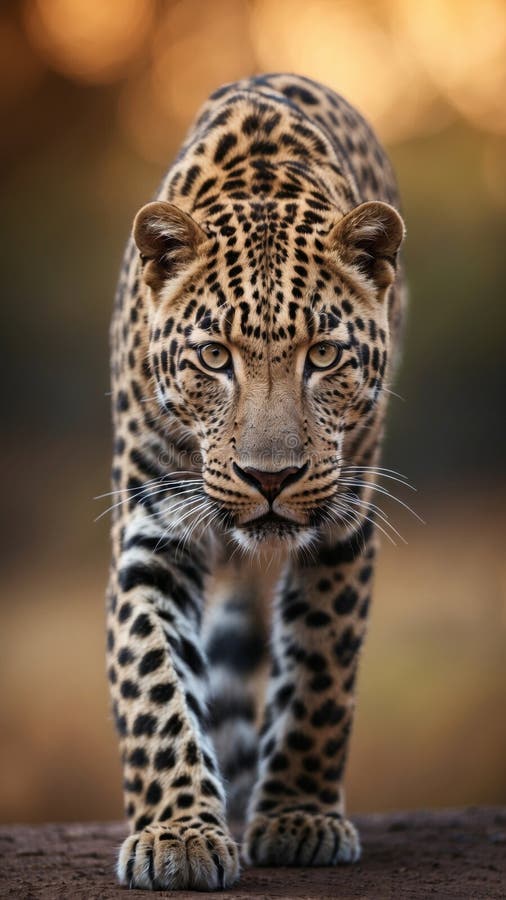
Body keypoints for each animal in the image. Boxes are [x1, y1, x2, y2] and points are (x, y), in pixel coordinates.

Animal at [106, 73, 406, 891]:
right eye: (214, 357)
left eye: (324, 356)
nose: (269, 479)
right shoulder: (154, 534)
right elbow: (153, 683)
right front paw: (178, 833)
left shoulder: (343, 527)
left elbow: (321, 676)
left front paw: (299, 816)